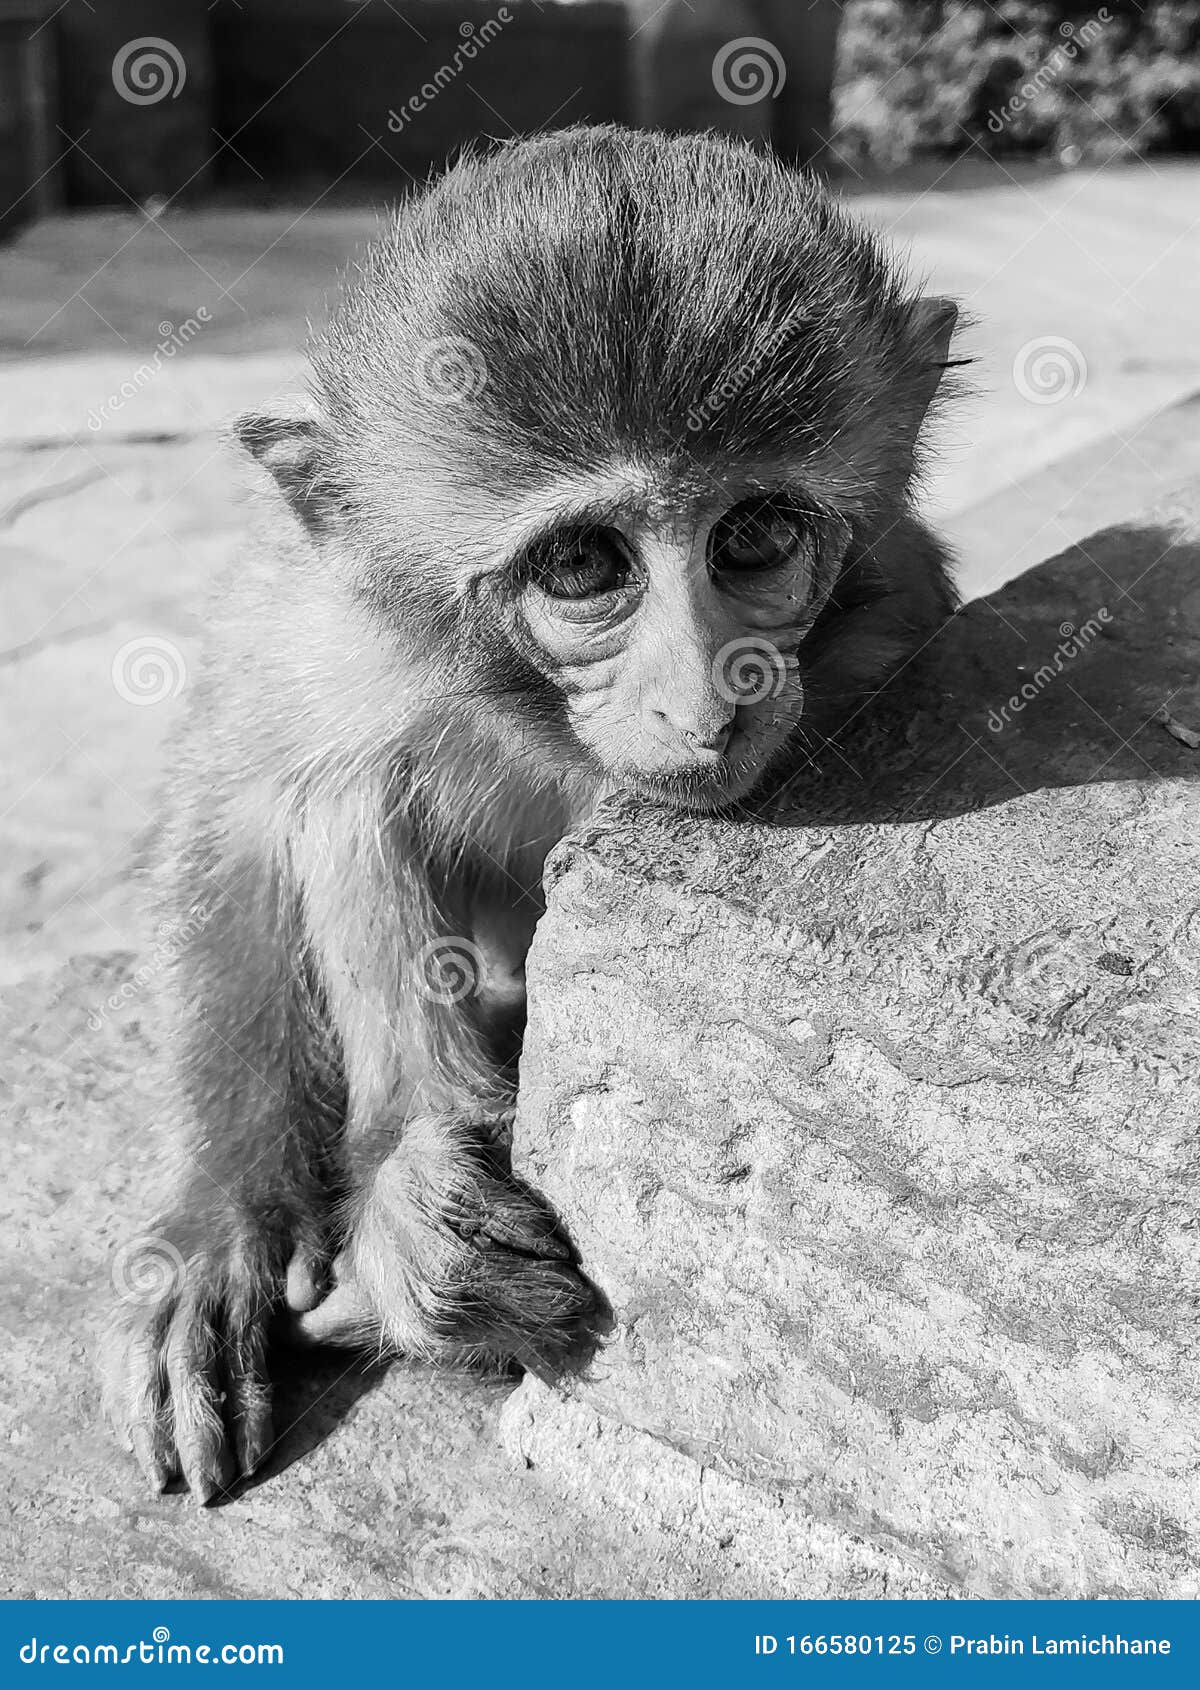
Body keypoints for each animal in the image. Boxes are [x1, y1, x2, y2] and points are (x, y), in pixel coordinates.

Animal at [100, 125, 960, 1504]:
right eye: (580, 565)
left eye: (756, 533)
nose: (704, 699)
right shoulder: (327, 629)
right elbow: (243, 802)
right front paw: (212, 1226)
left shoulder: (898, 608)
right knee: (350, 786)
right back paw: (415, 1192)